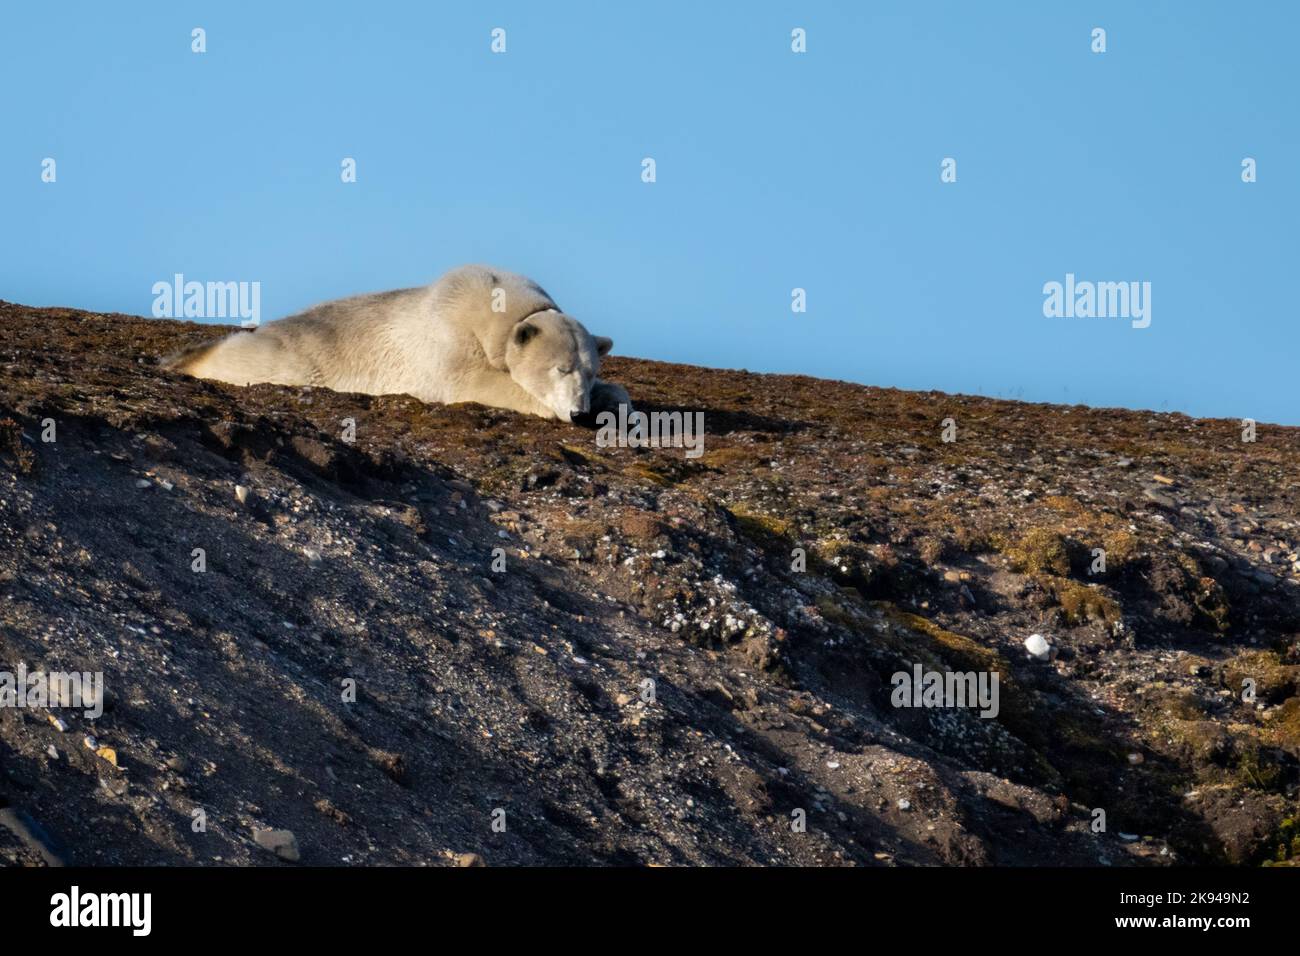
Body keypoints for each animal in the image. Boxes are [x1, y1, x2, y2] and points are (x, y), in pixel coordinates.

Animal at [164, 265, 632, 422]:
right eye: (560, 368)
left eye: (588, 372)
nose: (578, 411)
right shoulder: (449, 339)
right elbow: (470, 382)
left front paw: (611, 399)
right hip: (289, 356)